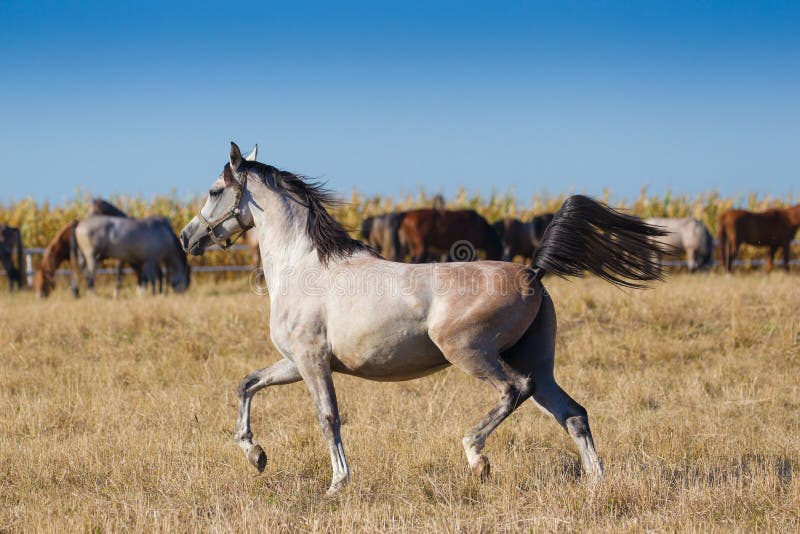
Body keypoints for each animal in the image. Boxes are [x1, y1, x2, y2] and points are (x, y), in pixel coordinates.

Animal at [179, 142, 666, 495]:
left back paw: (476, 457)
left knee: (515, 390)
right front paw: (256, 455)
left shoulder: (313, 361)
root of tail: (532, 271)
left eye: (214, 190)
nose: (188, 236)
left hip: (470, 352)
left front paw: (337, 484)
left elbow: (328, 418)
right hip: (537, 363)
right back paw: (596, 483)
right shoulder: (295, 363)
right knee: (573, 414)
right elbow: (246, 385)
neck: (305, 267)